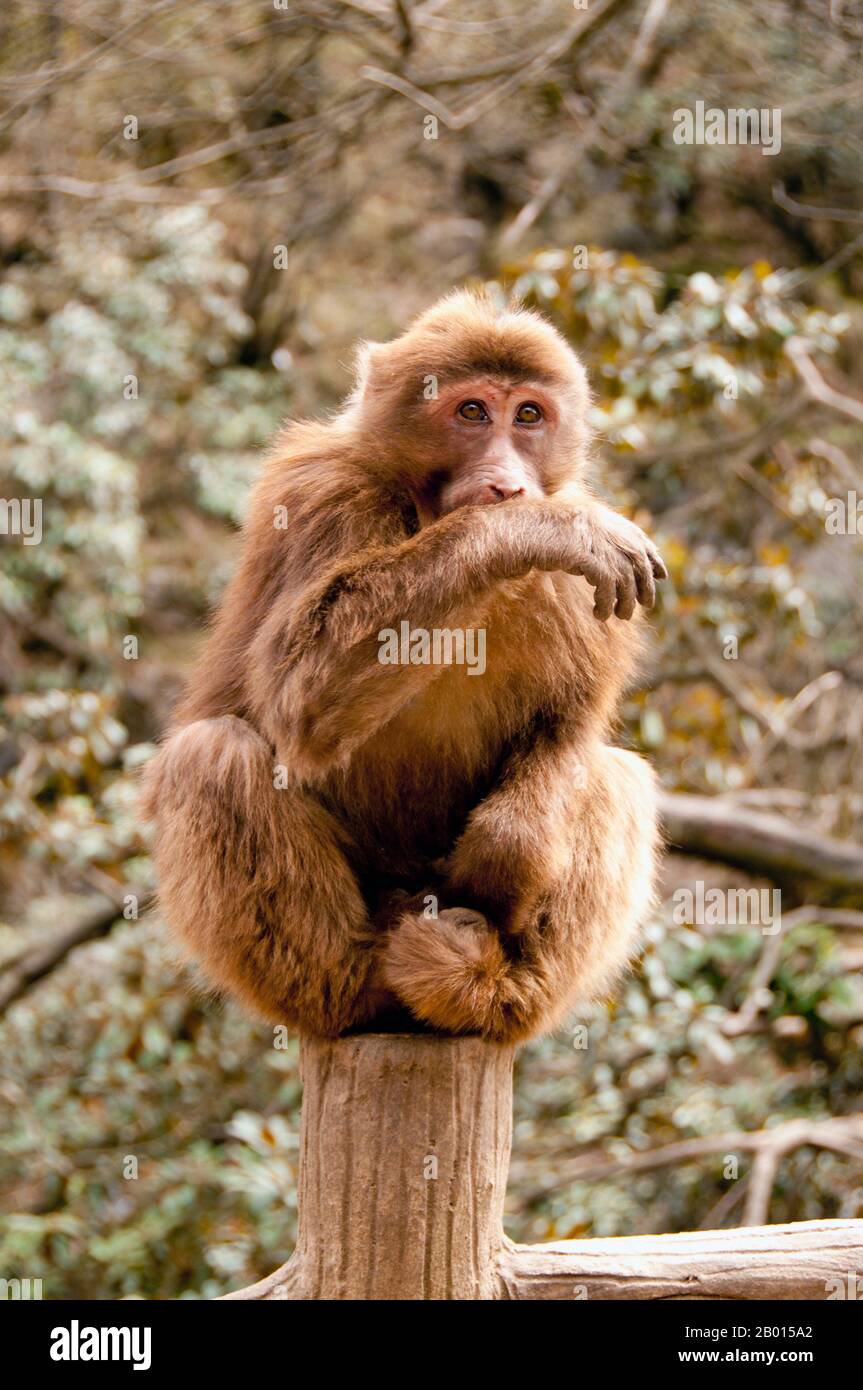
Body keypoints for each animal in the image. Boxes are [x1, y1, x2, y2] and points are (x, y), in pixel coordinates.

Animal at [141, 288, 667, 1044]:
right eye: (471, 412)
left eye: (528, 415)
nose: (508, 486)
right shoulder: (322, 494)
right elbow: (301, 696)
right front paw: (527, 533)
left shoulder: (580, 596)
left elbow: (564, 731)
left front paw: (501, 857)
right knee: (212, 756)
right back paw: (360, 985)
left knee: (615, 775)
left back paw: (494, 990)